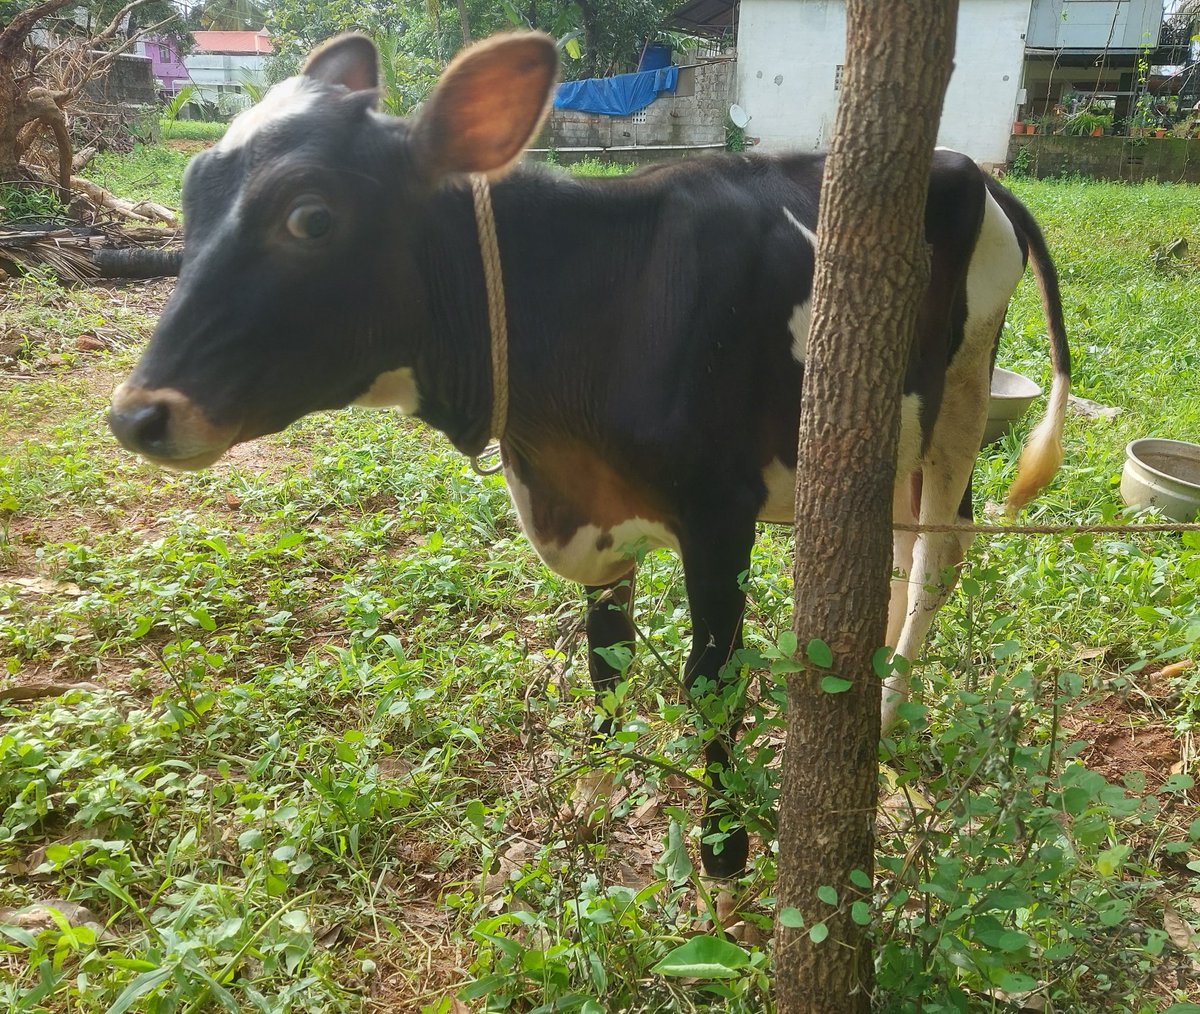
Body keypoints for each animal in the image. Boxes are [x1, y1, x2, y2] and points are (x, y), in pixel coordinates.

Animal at [107, 32, 1070, 881]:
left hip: (964, 381)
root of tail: (971, 167)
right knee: (902, 548)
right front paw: (591, 803)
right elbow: (606, 661)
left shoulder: (719, 518)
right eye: (192, 191)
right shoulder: (593, 509)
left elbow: (709, 683)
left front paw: (724, 865)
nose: (137, 415)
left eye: (310, 217)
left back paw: (894, 709)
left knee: (943, 552)